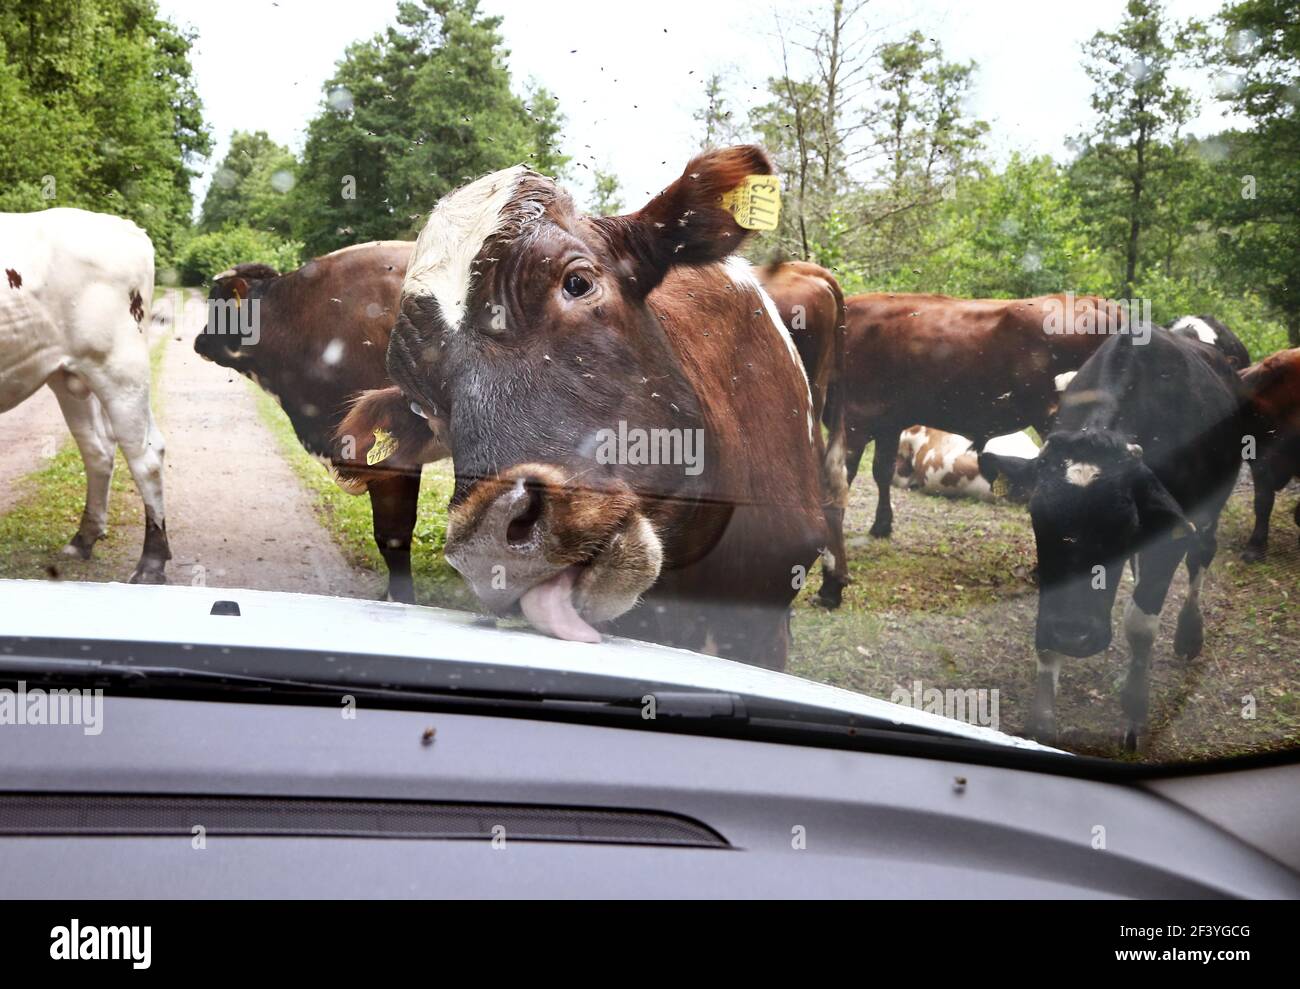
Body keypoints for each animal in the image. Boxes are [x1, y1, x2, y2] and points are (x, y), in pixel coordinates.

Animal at [1, 208, 169, 583]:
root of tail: (124, 226)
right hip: (71, 375)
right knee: (98, 449)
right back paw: (84, 538)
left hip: (120, 369)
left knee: (145, 457)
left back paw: (151, 562)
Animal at [979, 328, 1247, 751]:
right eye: (1037, 516)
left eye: (1125, 523)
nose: (1073, 636)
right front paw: (1042, 720)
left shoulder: (1171, 532)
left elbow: (1140, 623)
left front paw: (1135, 712)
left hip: (1211, 509)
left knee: (1201, 555)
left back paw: (1189, 634)